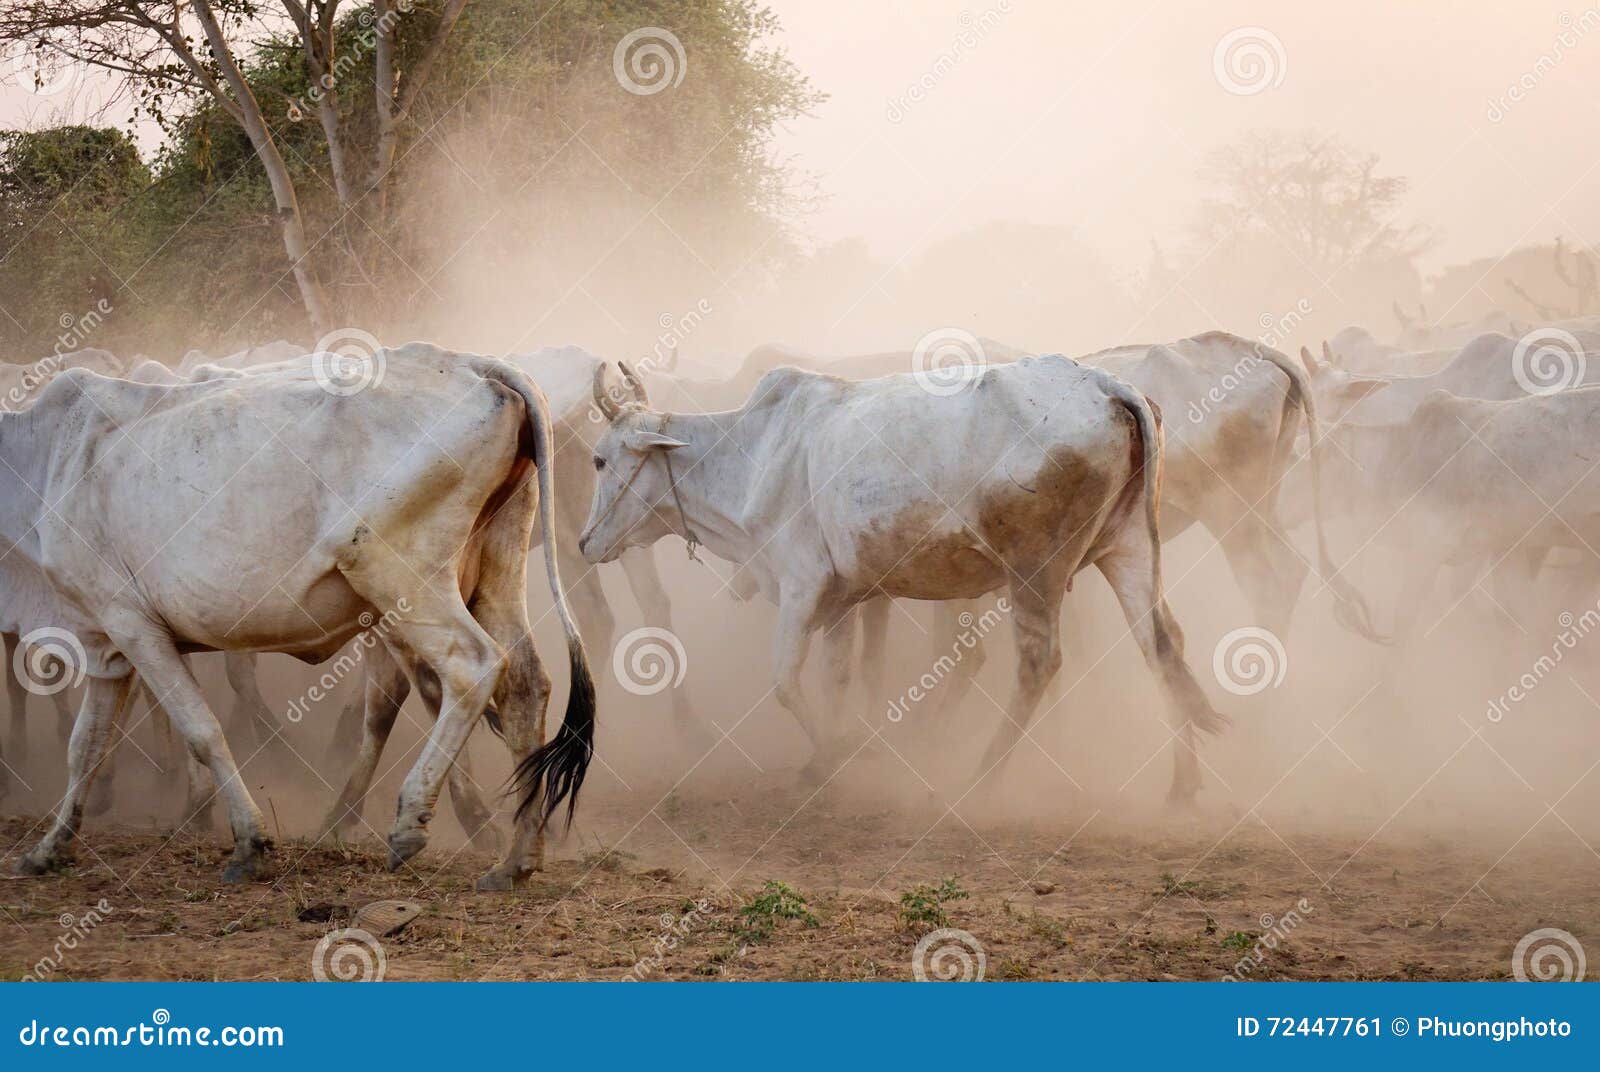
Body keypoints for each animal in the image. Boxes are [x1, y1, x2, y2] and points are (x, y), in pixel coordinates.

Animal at [2, 343, 595, 889]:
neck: (45, 458)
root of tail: (477, 364)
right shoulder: (107, 644)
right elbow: (86, 746)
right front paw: (48, 848)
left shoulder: (133, 624)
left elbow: (202, 731)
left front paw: (248, 843)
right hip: (496, 571)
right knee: (525, 685)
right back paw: (516, 859)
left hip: (400, 577)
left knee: (470, 668)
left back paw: (411, 822)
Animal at [571, 355, 1227, 804]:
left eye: (600, 459)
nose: (583, 542)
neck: (755, 454)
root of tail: (1106, 384)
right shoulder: (840, 601)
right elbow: (835, 678)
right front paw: (832, 752)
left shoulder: (800, 587)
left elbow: (785, 682)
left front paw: (831, 755)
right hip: (1129, 552)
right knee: (1162, 645)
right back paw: (1183, 783)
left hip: (1034, 572)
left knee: (1040, 663)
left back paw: (984, 776)